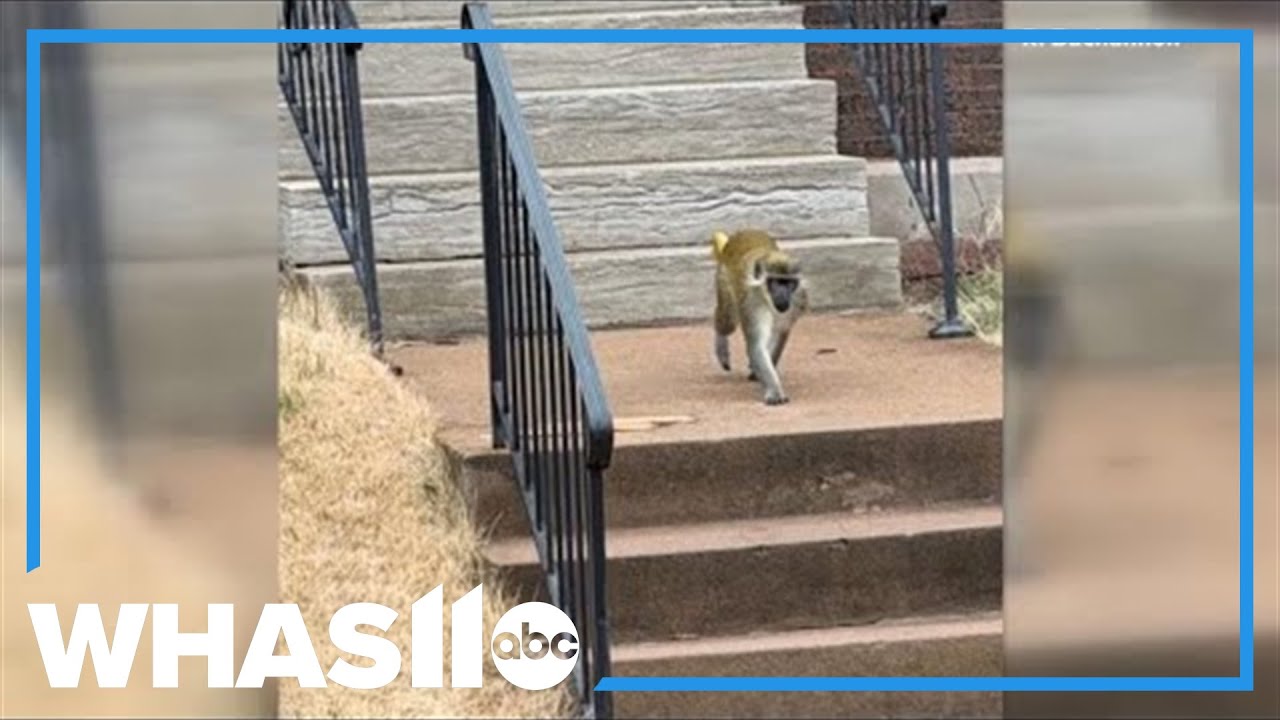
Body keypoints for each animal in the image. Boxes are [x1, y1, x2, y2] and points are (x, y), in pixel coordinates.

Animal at [711, 229, 808, 406]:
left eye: (788, 283)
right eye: (775, 282)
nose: (783, 295)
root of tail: (745, 231)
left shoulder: (797, 300)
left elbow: (781, 334)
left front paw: (760, 373)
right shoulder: (752, 304)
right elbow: (756, 346)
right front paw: (774, 391)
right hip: (723, 278)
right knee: (727, 321)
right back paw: (721, 343)